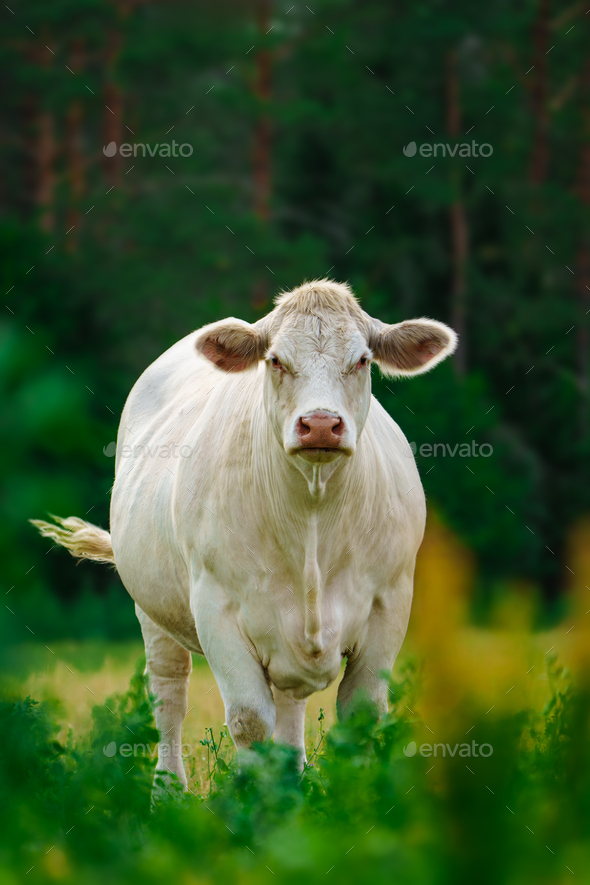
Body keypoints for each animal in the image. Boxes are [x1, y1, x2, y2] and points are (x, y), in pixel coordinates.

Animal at [32, 279, 457, 785]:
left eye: (362, 360)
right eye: (275, 360)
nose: (320, 424)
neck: (312, 519)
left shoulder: (389, 602)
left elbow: (361, 715)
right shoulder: (217, 606)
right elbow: (249, 719)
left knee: (289, 706)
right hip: (151, 609)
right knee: (169, 694)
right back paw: (168, 789)